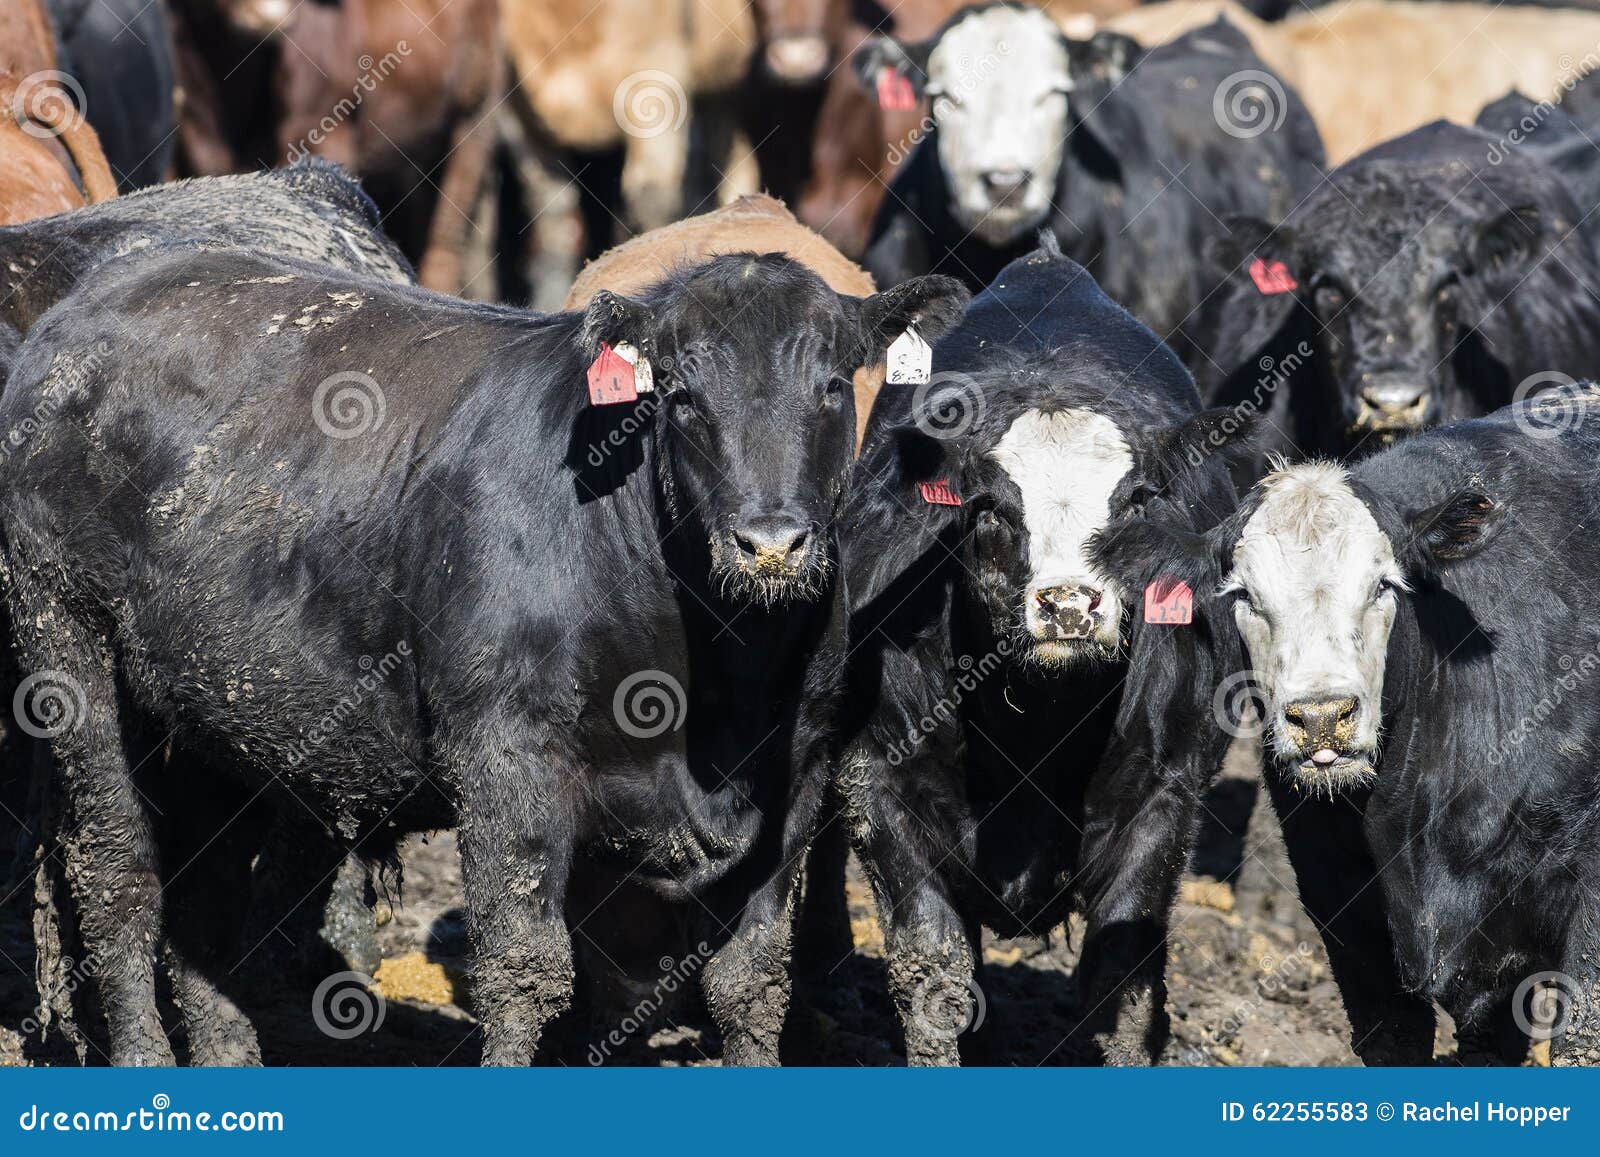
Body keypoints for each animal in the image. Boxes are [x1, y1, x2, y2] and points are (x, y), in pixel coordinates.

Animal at [0, 240, 966, 1065]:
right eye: (683, 394)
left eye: (833, 386)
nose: (770, 543)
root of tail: (87, 304)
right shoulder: (505, 752)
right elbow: (525, 971)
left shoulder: (796, 775)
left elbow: (749, 981)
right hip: (64, 637)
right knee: (118, 872)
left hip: (212, 710)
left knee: (203, 908)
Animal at [835, 238, 1244, 1064]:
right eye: (991, 505)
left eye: (1137, 499)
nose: (1070, 604)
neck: (1038, 720)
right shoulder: (881, 786)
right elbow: (935, 968)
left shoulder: (1162, 800)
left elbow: (1123, 978)